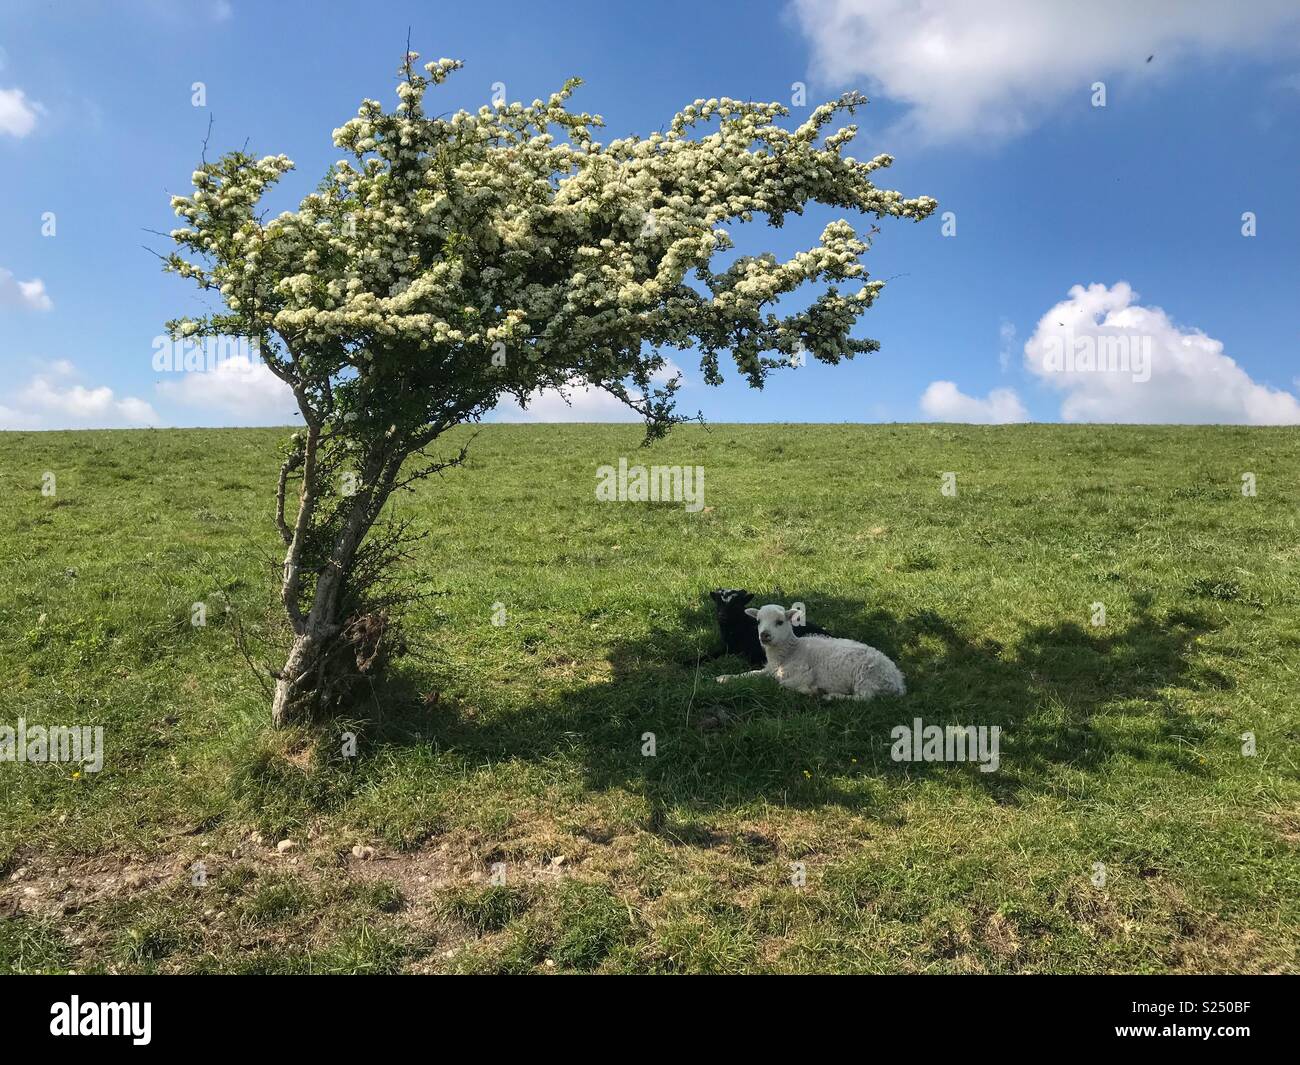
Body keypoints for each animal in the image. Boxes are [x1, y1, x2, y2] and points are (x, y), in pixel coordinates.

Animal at [716, 604, 905, 701]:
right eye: (758, 621)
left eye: (779, 622)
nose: (764, 635)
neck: (790, 652)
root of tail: (898, 682)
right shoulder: (769, 669)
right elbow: (749, 674)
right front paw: (723, 678)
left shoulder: (803, 674)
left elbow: (782, 684)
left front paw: (811, 690)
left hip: (867, 679)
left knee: (864, 698)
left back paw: (831, 696)